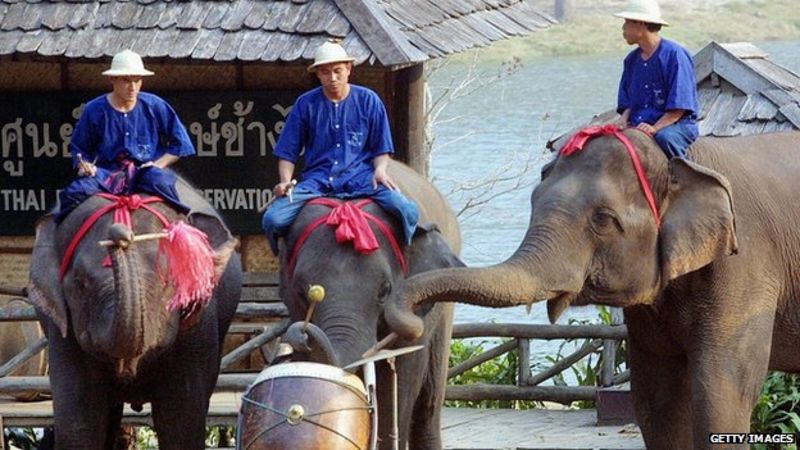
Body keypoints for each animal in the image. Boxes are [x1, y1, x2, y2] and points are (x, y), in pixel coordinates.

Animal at [27, 177, 241, 450]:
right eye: (80, 283)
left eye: (167, 281)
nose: (120, 234)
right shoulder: (62, 333)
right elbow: (79, 423)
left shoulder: (199, 325)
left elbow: (180, 421)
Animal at [386, 128, 800, 449]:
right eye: (533, 200)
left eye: (603, 219)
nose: (411, 321)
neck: (678, 159)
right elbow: (658, 398)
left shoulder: (745, 265)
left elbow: (722, 391)